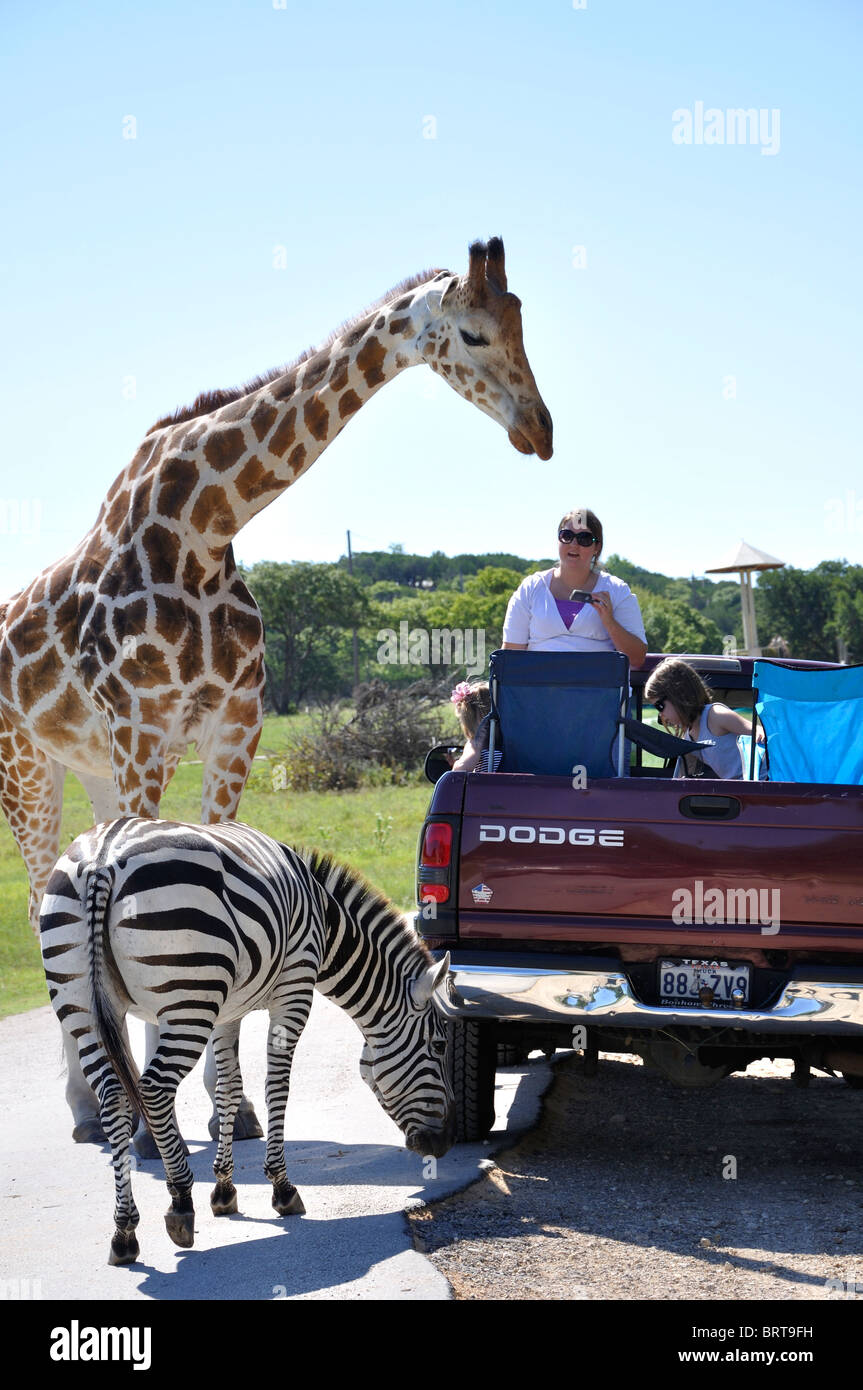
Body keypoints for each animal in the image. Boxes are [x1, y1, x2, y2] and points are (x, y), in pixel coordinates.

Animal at [1, 236, 553, 1147]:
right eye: (472, 333)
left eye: (520, 321)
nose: (538, 431)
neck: (203, 527)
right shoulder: (144, 727)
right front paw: (155, 1129)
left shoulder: (233, 726)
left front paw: (238, 1111)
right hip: (26, 764)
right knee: (43, 892)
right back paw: (86, 1110)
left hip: (88, 762)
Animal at [39, 816, 454, 1265]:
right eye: (439, 1046)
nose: (445, 1143)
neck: (326, 922)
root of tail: (104, 856)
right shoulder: (294, 989)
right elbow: (278, 1087)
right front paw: (282, 1189)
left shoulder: (227, 1011)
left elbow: (229, 1088)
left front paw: (224, 1190)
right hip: (188, 996)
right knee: (153, 1090)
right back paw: (180, 1202)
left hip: (82, 1005)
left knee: (114, 1097)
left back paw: (124, 1231)